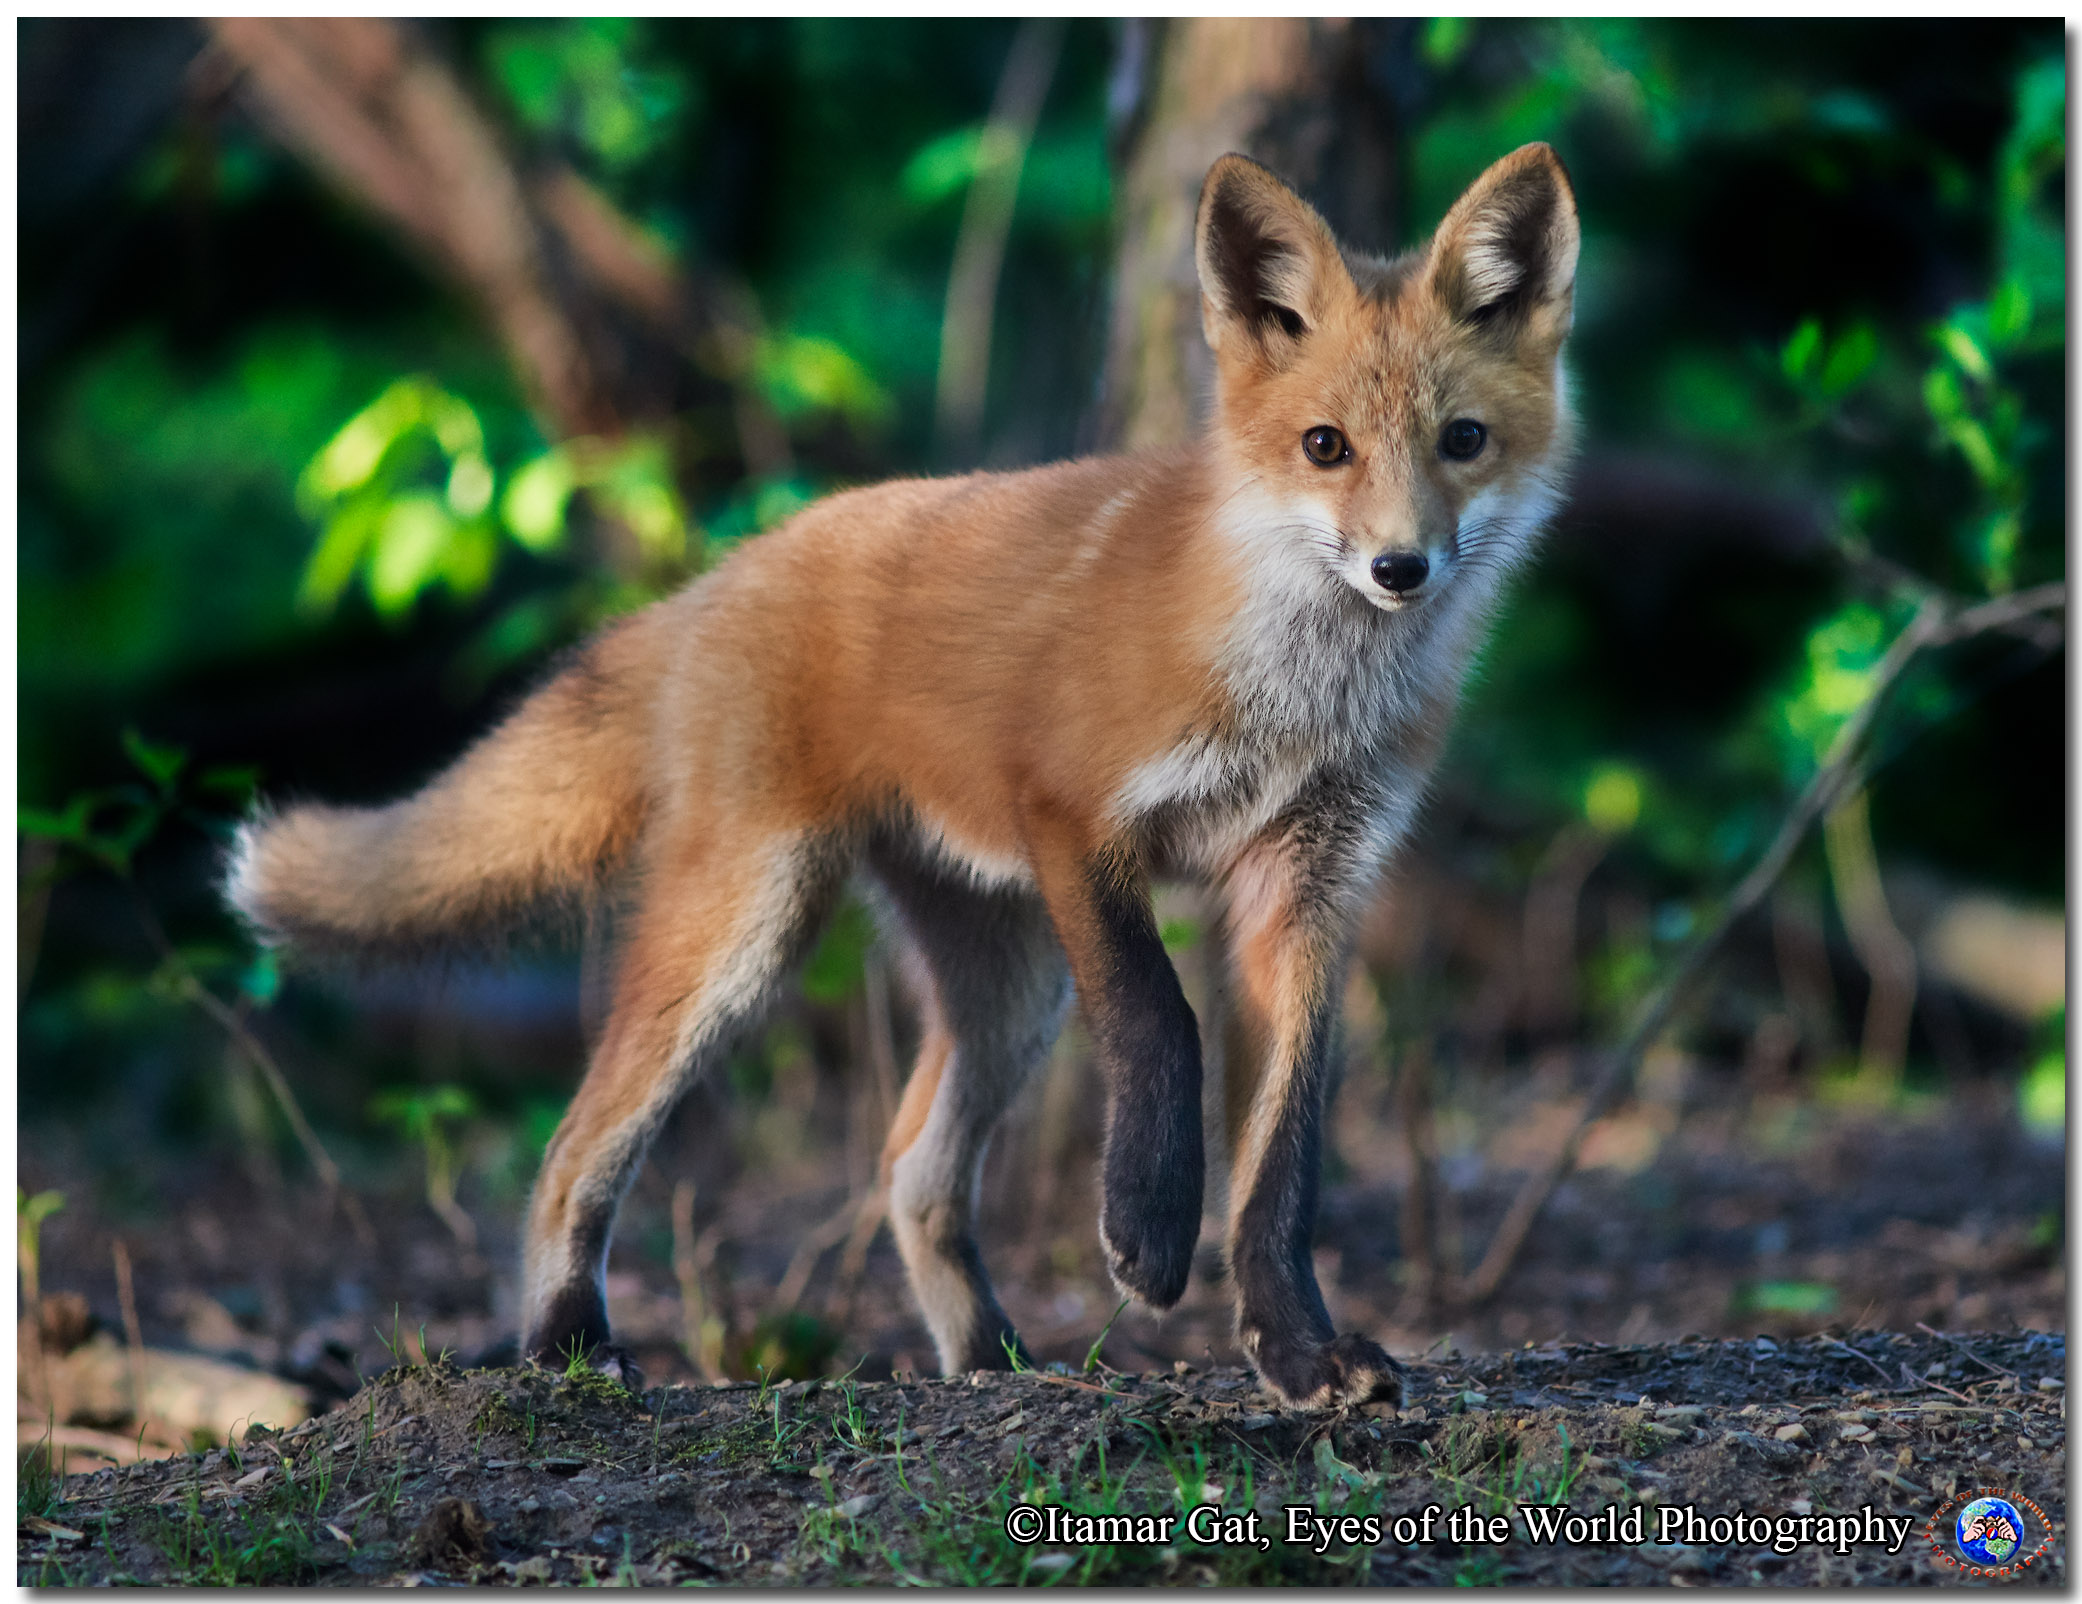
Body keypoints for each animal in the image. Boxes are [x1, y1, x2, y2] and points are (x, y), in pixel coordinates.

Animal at [227, 144, 1579, 1410]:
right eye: (1324, 447)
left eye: (1463, 442)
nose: (1401, 567)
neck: (1298, 688)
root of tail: (720, 574)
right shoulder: (1074, 814)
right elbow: (1161, 1020)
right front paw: (1147, 1232)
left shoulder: (1308, 883)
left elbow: (1284, 1161)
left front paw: (1295, 1351)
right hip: (752, 931)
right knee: (570, 1149)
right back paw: (568, 1343)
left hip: (1009, 980)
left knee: (908, 1166)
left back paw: (988, 1361)